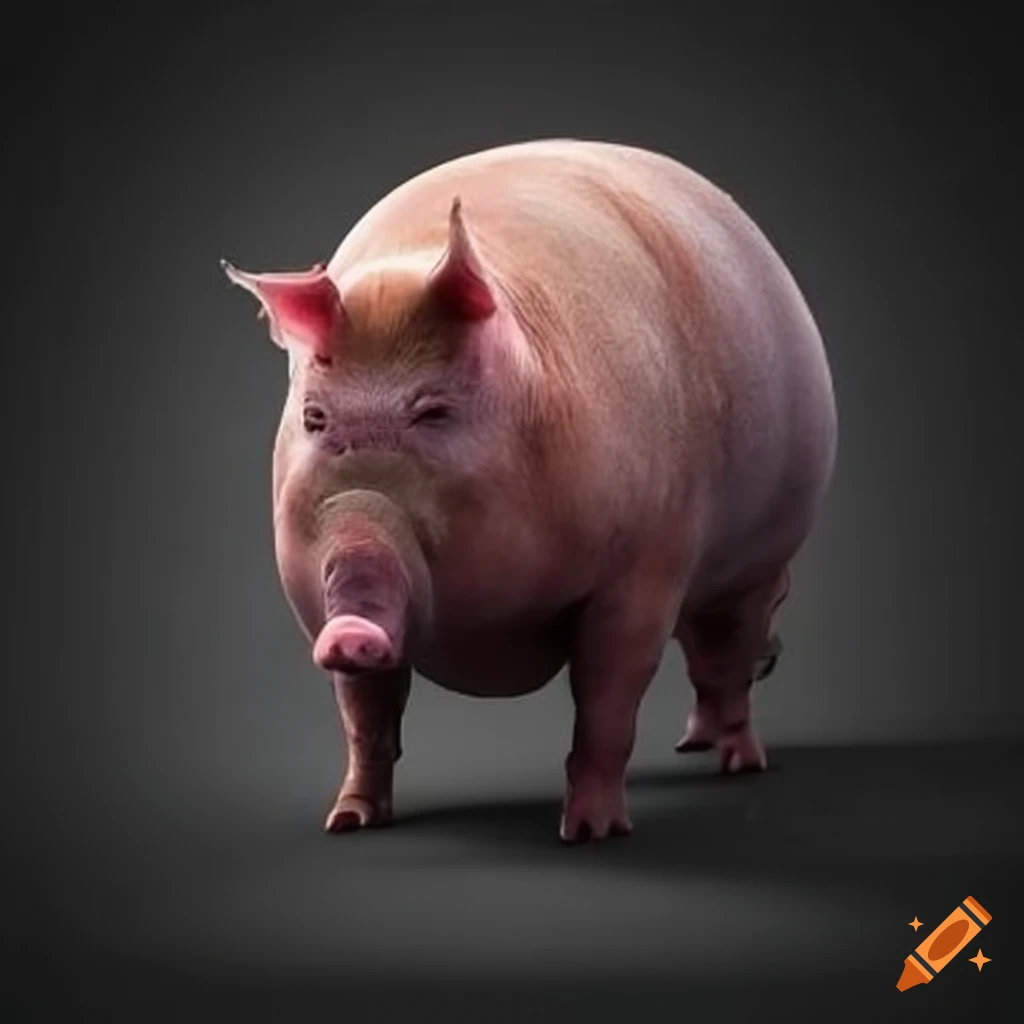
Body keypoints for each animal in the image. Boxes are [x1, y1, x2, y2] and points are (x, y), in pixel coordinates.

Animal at [222, 138, 837, 843]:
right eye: (315, 418)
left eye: (434, 412)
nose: (351, 629)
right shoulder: (314, 609)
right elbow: (366, 716)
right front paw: (347, 822)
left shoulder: (644, 569)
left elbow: (607, 702)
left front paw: (589, 834)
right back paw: (692, 746)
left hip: (758, 555)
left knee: (727, 657)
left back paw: (736, 763)